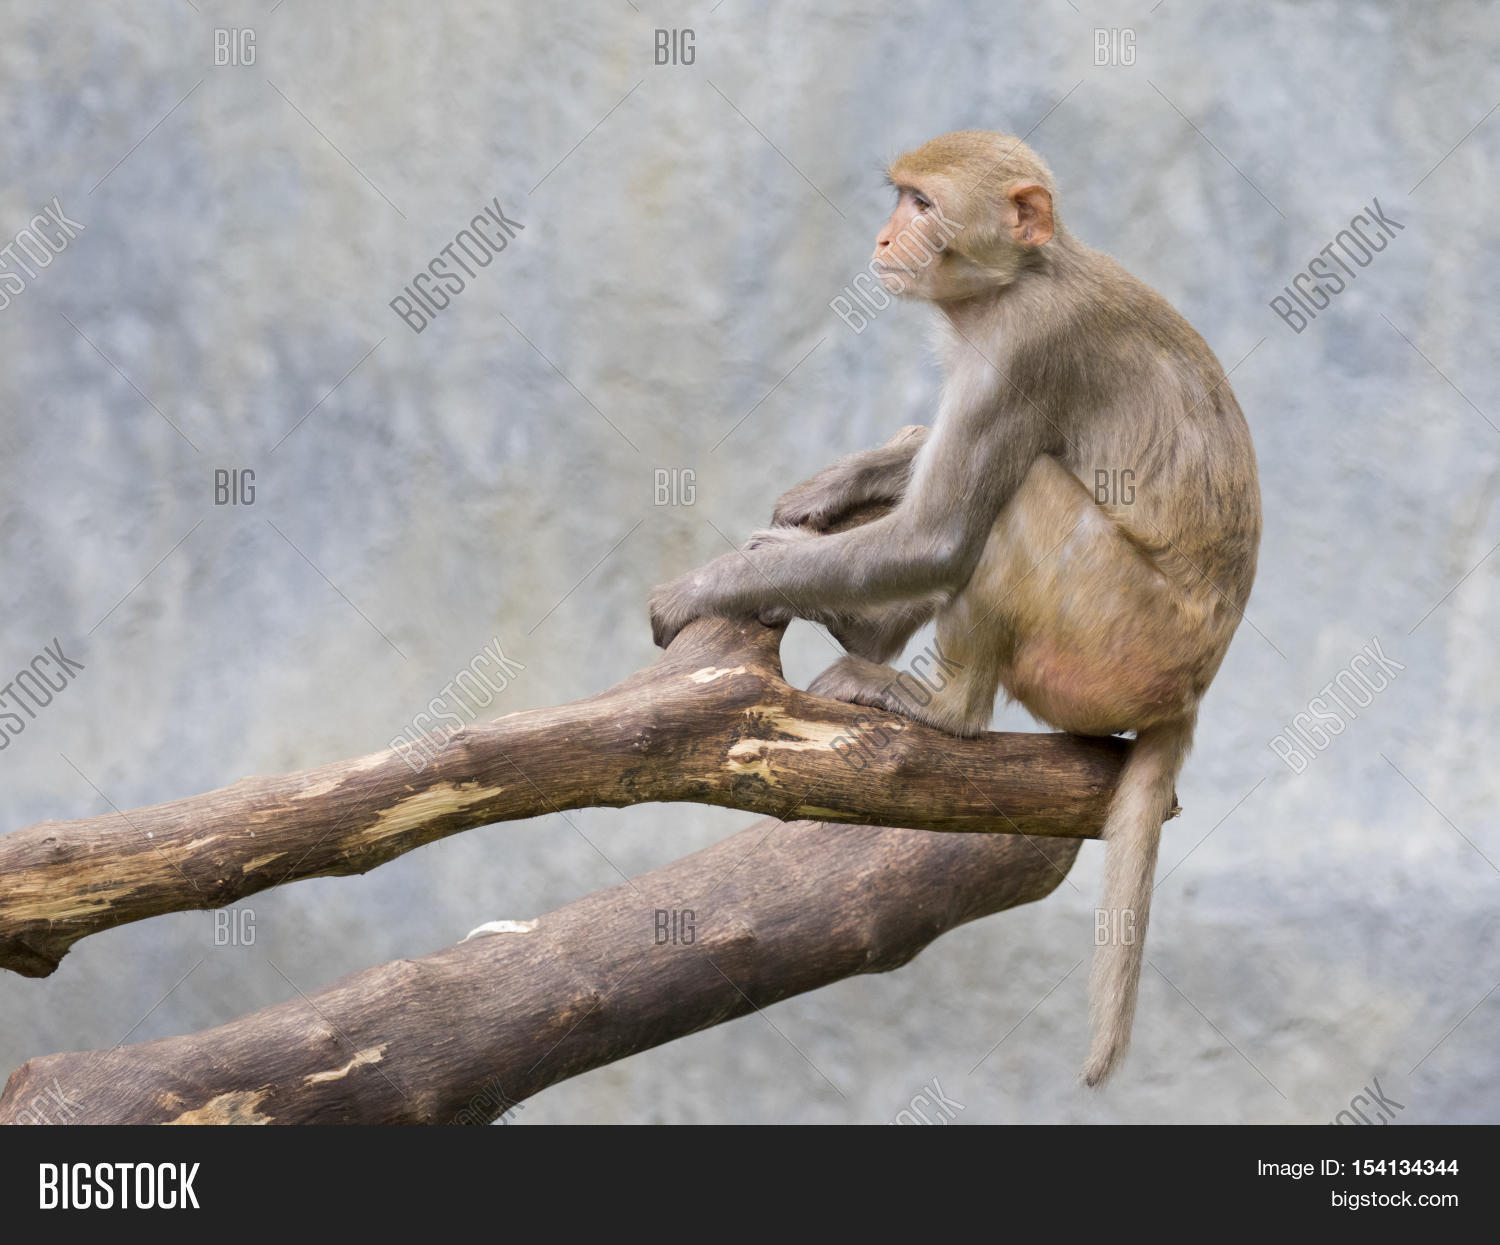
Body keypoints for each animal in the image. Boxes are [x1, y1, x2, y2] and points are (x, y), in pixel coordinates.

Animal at [649, 130, 1261, 1085]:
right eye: (901, 196)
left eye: (924, 205)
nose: (883, 235)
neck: (1012, 284)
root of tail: (1192, 693)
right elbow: (924, 476)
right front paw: (837, 482)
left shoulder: (1023, 351)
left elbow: (936, 535)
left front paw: (704, 585)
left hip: (1120, 639)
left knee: (1023, 493)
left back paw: (942, 707)